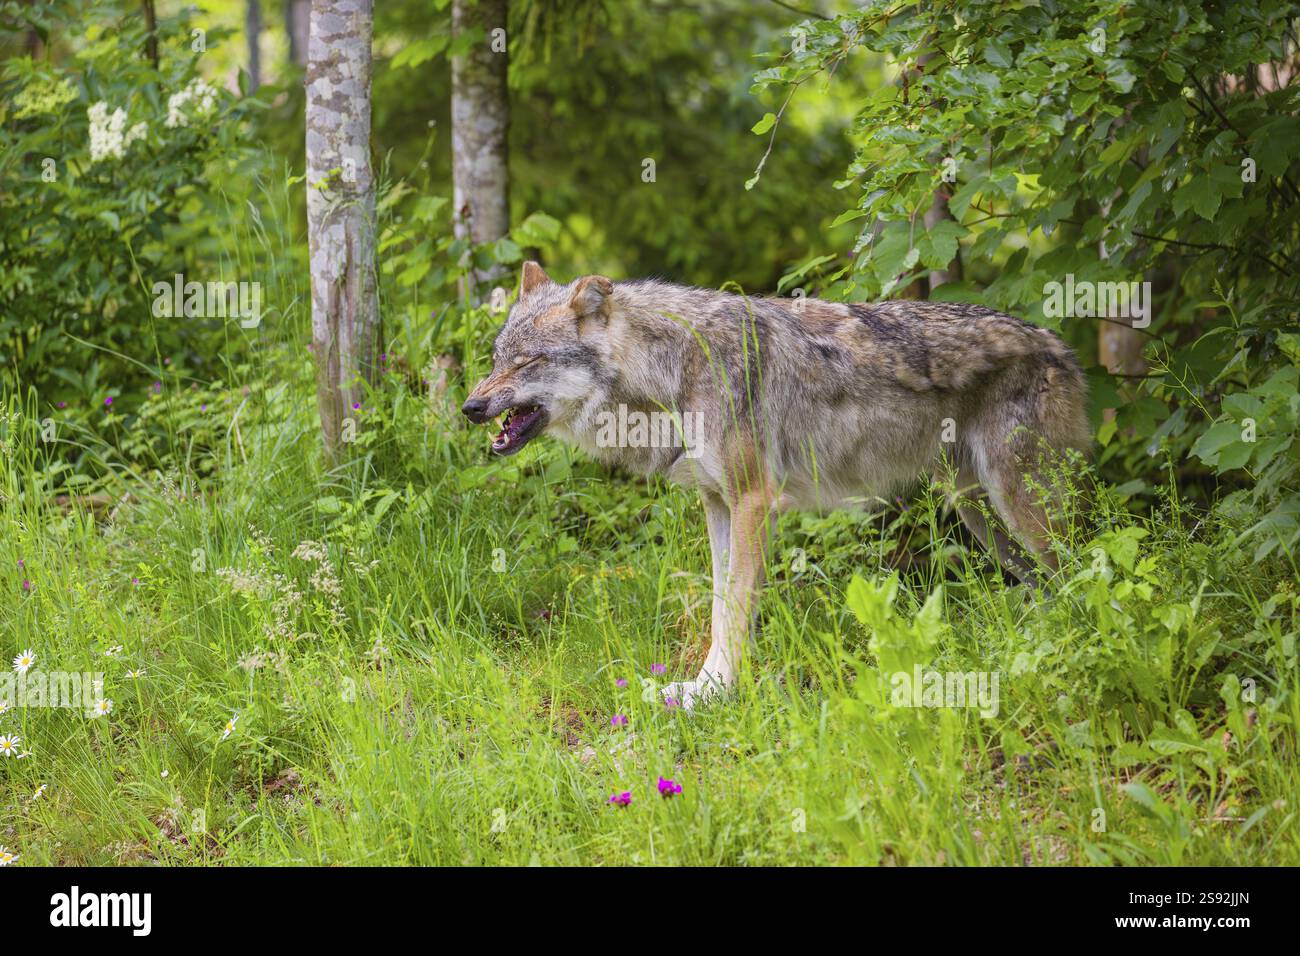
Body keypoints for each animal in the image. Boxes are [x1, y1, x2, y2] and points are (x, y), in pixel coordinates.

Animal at [463, 262, 1090, 708]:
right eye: (496, 359)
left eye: (528, 363)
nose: (470, 407)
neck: (672, 371)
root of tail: (1057, 342)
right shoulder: (716, 504)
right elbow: (719, 604)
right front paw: (697, 688)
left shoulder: (753, 503)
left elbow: (736, 607)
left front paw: (717, 693)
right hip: (979, 513)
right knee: (1047, 584)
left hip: (1021, 505)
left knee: (1082, 571)